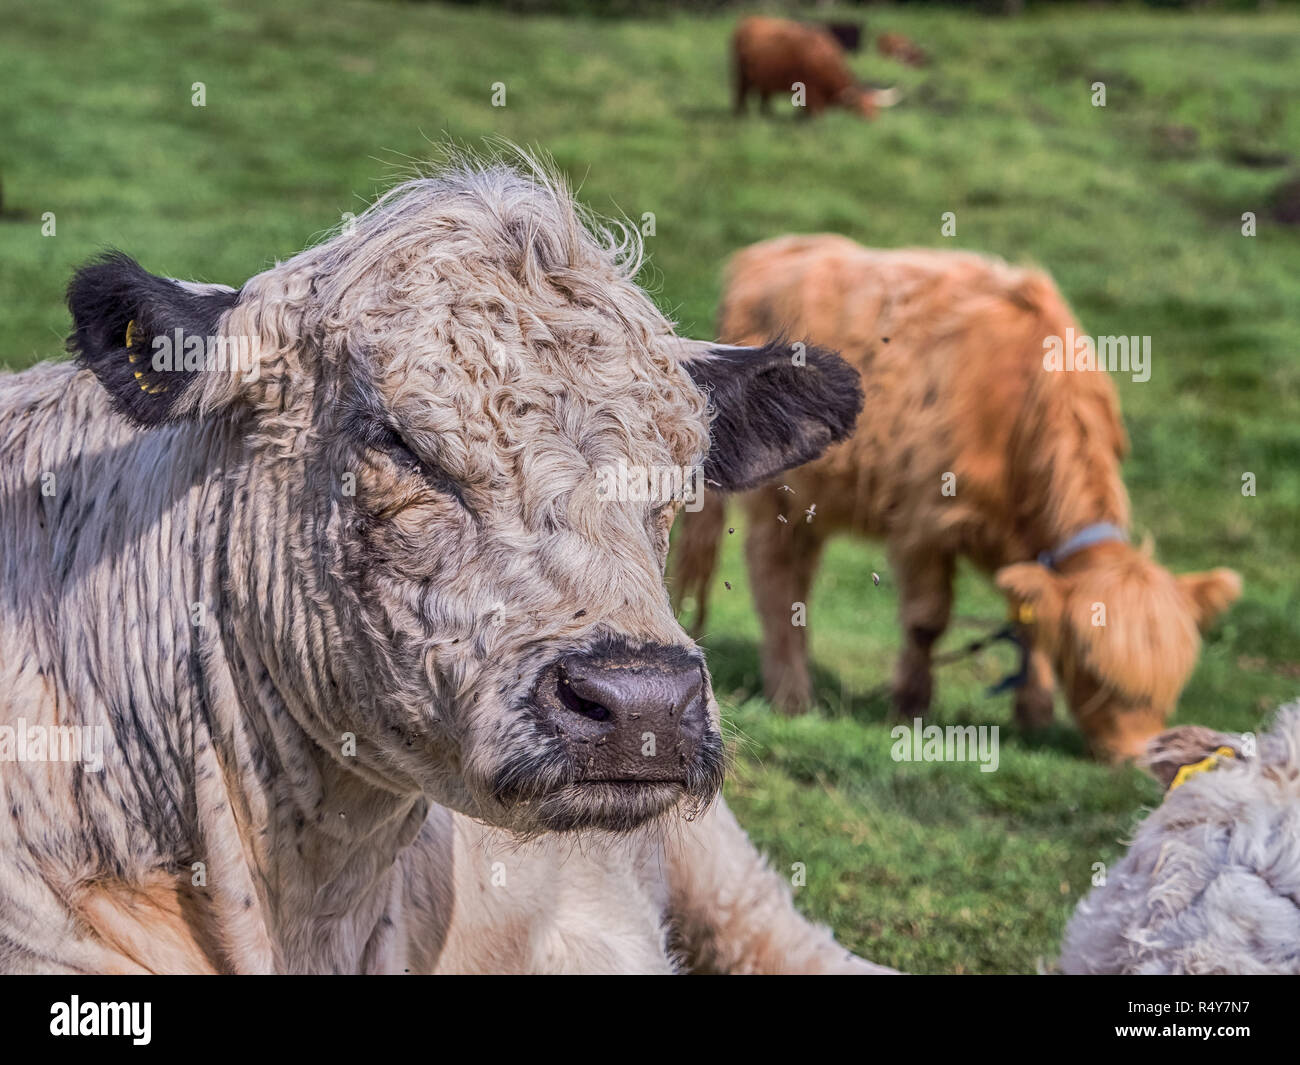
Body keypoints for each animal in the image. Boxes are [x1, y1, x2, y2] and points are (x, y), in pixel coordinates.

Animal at [672, 236, 1241, 762]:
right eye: (1091, 671)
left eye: (1172, 682)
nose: (1135, 755)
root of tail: (772, 251)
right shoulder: (925, 522)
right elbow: (927, 620)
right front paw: (910, 706)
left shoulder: (1022, 548)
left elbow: (1030, 622)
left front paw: (1034, 714)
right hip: (779, 496)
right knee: (776, 578)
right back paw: (793, 697)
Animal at [732, 16, 897, 120]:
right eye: (860, 108)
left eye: (875, 107)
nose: (874, 121)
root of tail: (749, 21)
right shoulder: (811, 92)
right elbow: (816, 115)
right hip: (741, 75)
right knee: (741, 95)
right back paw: (741, 116)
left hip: (765, 77)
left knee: (764, 97)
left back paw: (767, 115)